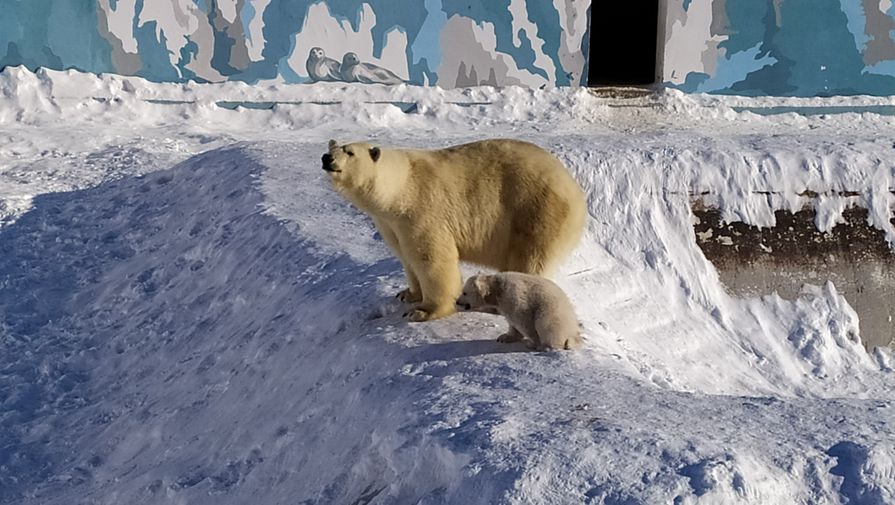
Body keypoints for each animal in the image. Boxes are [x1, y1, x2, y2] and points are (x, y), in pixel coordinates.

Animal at [321, 138, 586, 322]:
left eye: (349, 152)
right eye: (333, 145)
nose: (326, 158)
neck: (400, 188)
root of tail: (576, 190)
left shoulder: (423, 210)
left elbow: (431, 259)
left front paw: (422, 312)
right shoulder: (391, 223)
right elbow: (407, 257)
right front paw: (408, 294)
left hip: (537, 212)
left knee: (529, 260)